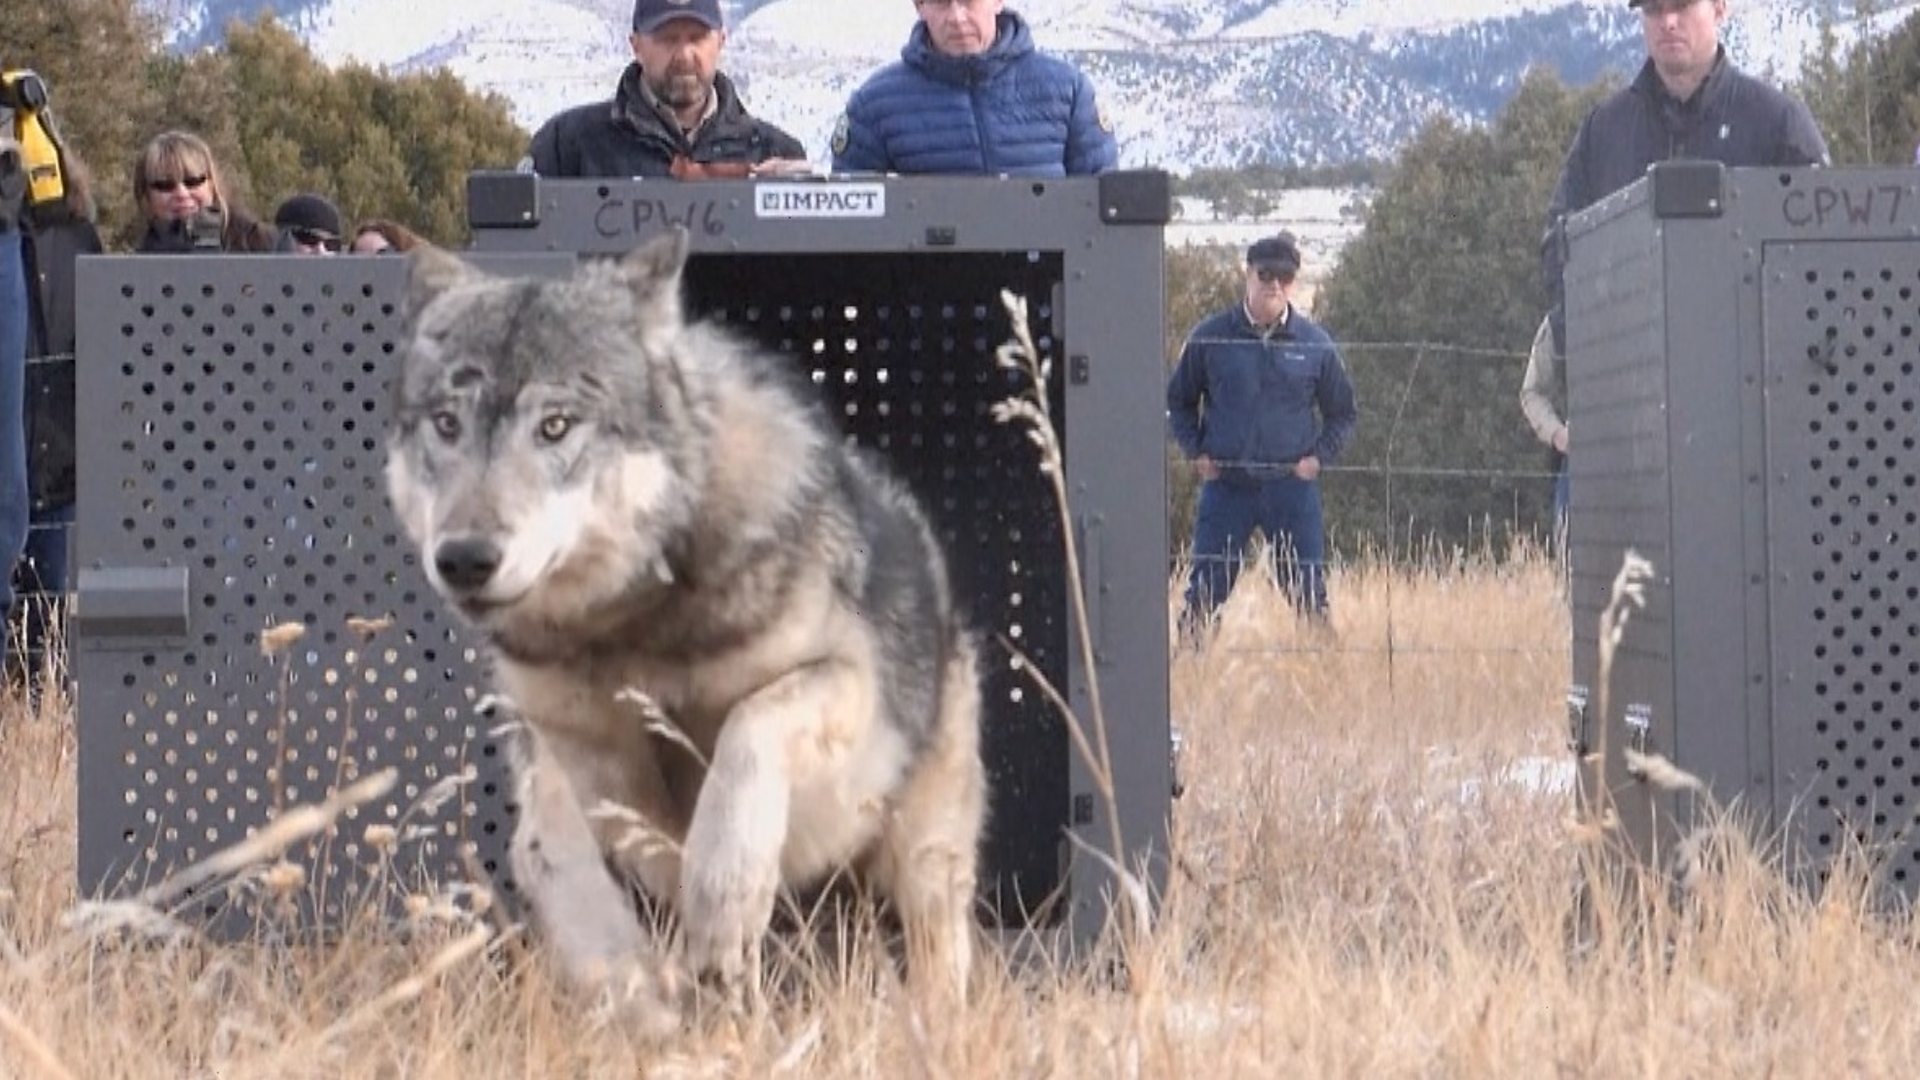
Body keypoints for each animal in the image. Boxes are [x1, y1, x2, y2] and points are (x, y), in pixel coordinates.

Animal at [384, 230, 987, 1013]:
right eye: (447, 425)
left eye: (555, 426)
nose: (463, 559)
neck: (633, 626)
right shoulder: (564, 744)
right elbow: (552, 848)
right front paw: (628, 978)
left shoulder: (844, 684)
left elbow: (749, 731)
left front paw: (721, 897)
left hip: (922, 857)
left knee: (939, 948)